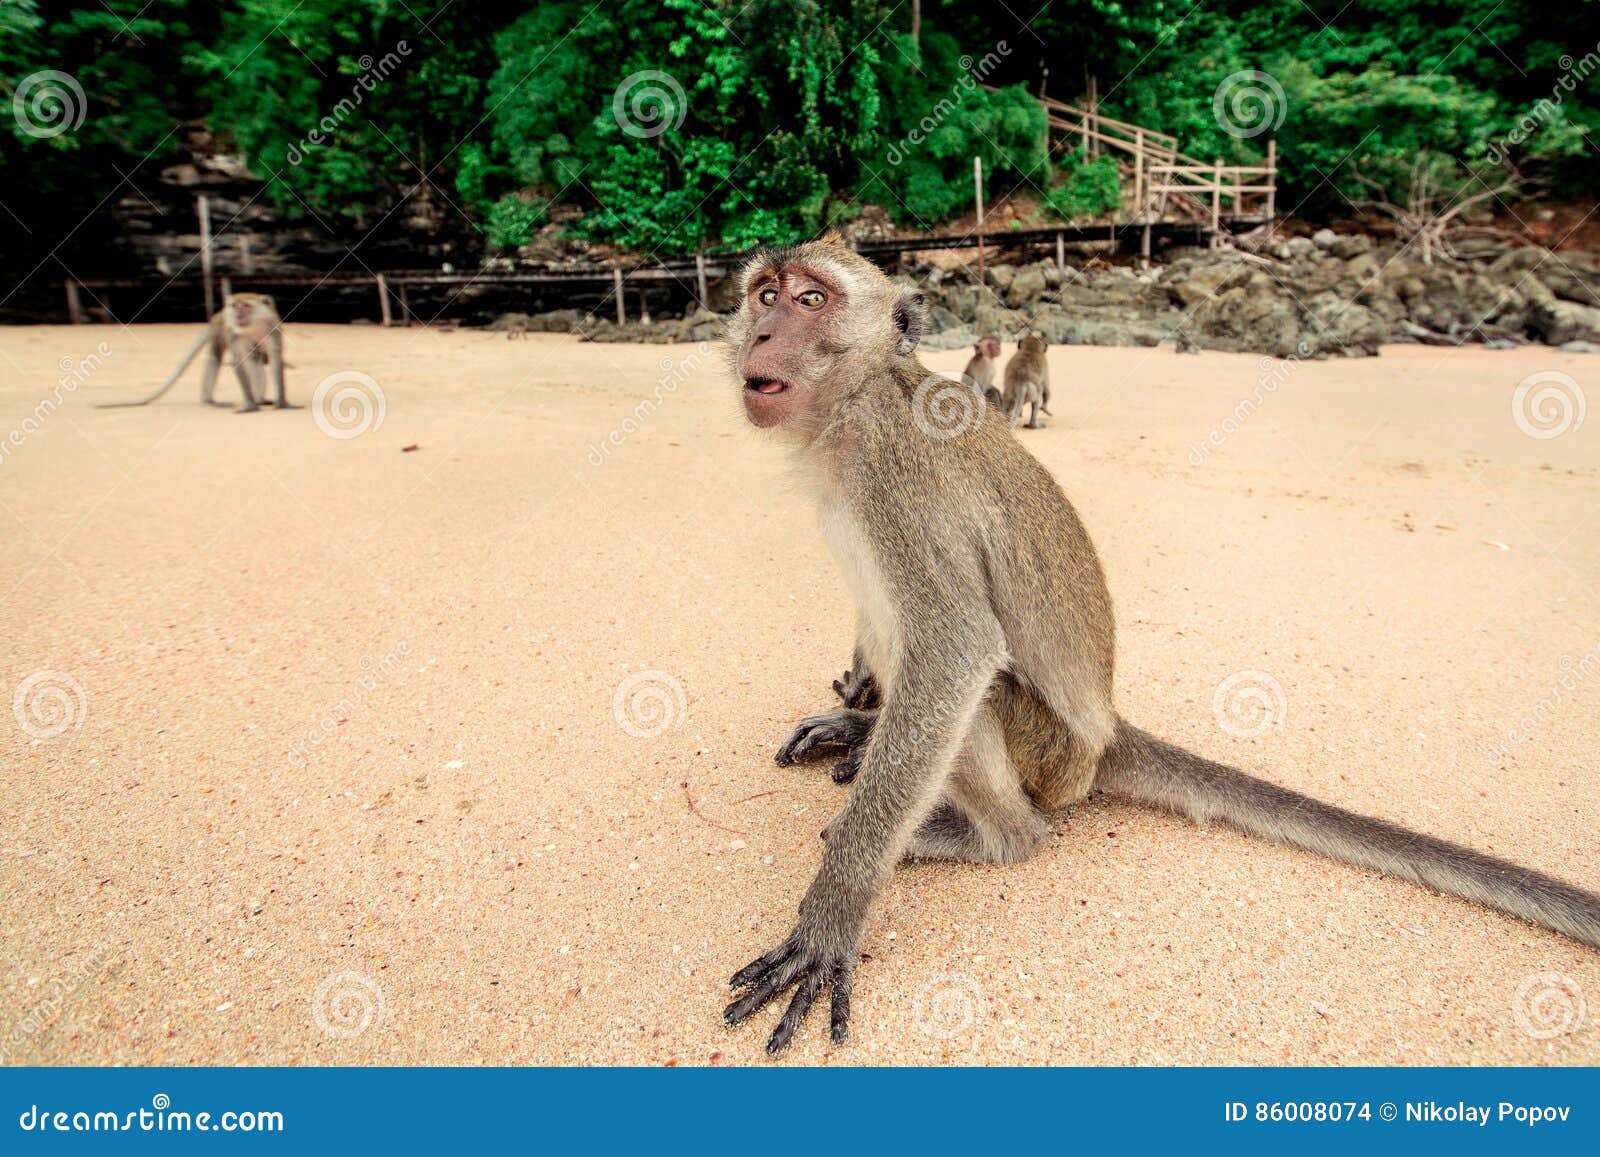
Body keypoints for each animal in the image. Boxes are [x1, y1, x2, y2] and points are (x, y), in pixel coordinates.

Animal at [96, 293, 291, 411]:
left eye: (245, 306)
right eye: (236, 305)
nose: (237, 314)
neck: (253, 326)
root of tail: (219, 314)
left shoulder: (272, 328)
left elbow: (275, 358)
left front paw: (281, 402)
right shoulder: (234, 334)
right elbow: (239, 362)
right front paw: (250, 405)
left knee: (255, 359)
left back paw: (260, 398)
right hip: (218, 330)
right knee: (215, 357)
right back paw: (209, 401)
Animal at [722, 231, 1600, 1056]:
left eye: (810, 298)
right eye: (765, 293)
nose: (762, 333)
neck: (852, 407)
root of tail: (1107, 732)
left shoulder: (895, 467)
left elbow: (955, 649)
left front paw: (832, 914)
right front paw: (859, 707)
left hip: (1049, 754)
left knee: (979, 706)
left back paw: (990, 835)